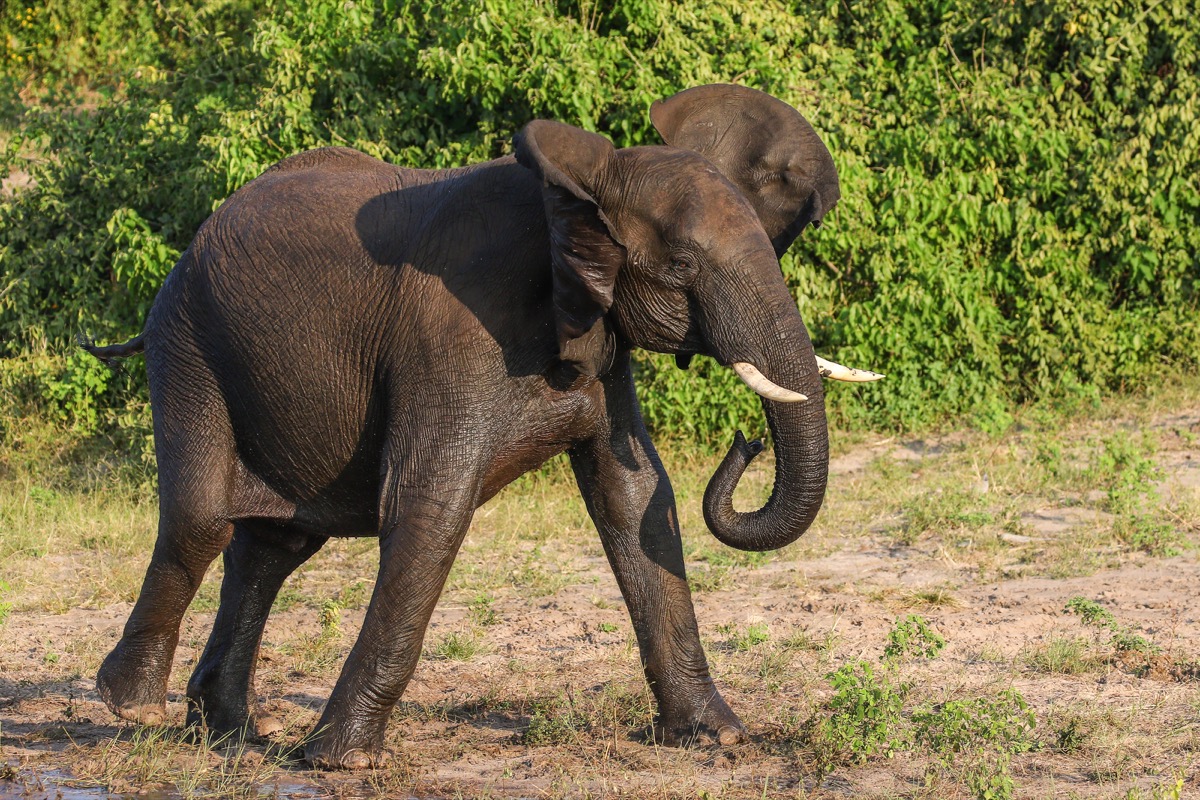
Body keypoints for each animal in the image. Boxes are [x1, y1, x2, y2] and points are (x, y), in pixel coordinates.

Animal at [82, 84, 881, 769]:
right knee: (202, 520)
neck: (585, 186)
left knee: (273, 546)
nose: (746, 444)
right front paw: (342, 761)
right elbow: (431, 505)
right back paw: (133, 710)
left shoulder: (596, 346)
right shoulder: (454, 334)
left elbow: (634, 499)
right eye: (683, 266)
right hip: (188, 343)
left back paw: (228, 732)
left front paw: (717, 737)